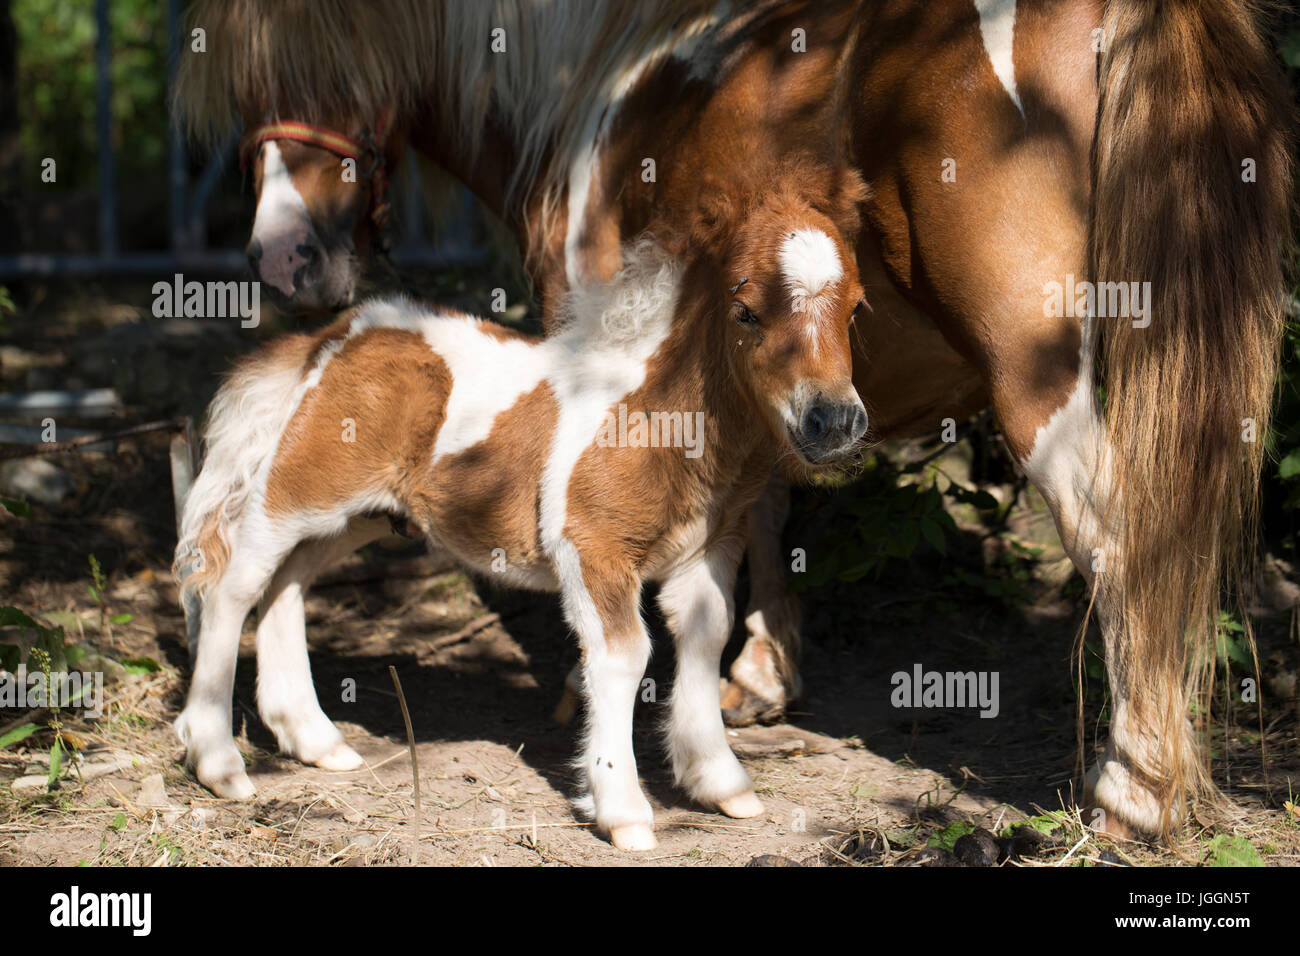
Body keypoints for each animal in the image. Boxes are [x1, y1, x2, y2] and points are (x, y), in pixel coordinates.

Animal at [173, 159, 870, 850]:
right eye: (745, 312)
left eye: (857, 307)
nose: (834, 423)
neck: (662, 417)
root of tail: (339, 336)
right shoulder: (593, 549)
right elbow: (623, 657)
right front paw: (623, 810)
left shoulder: (711, 547)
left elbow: (706, 636)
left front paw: (720, 782)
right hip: (297, 493)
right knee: (233, 587)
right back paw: (218, 762)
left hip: (361, 516)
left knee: (288, 582)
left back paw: (314, 739)